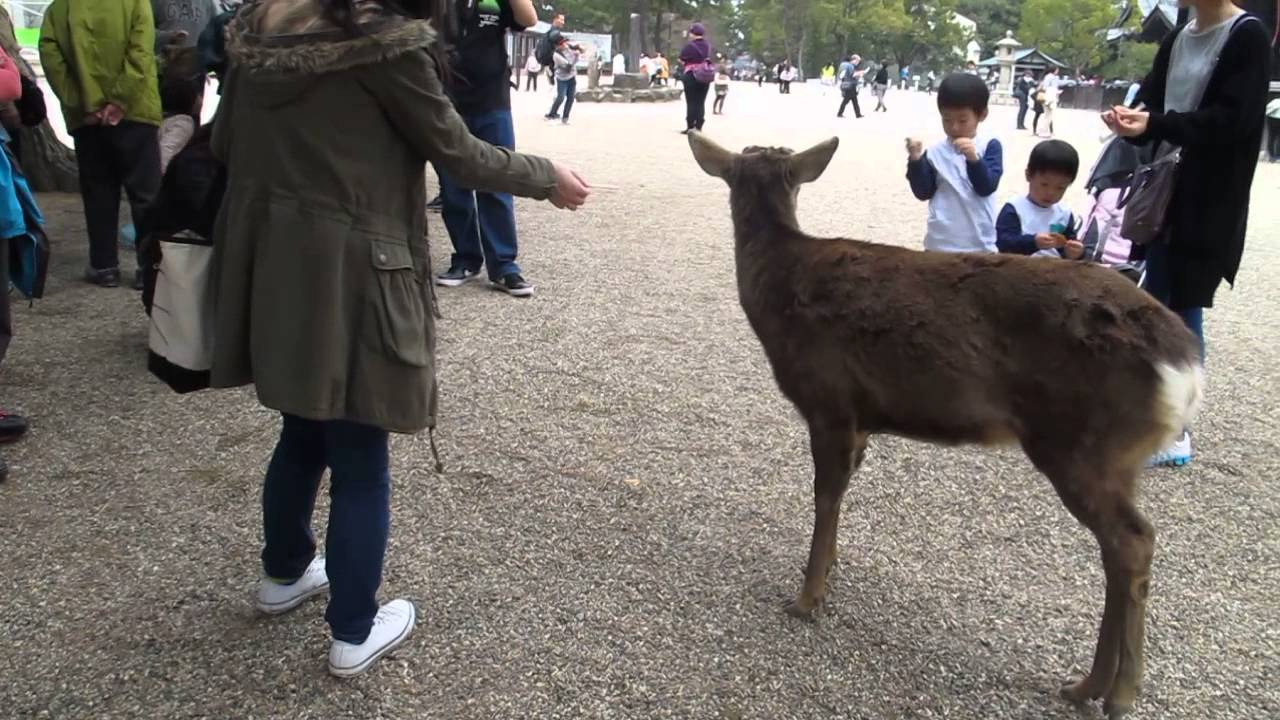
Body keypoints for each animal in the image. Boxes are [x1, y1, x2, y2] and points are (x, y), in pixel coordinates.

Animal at [687, 132, 1203, 719]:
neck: (780, 288)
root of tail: (1186, 366)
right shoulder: (861, 420)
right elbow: (839, 499)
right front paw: (831, 570)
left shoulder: (829, 400)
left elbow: (824, 496)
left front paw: (807, 596)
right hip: (1111, 454)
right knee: (1120, 549)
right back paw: (1086, 686)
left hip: (1081, 444)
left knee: (1132, 541)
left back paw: (1117, 693)